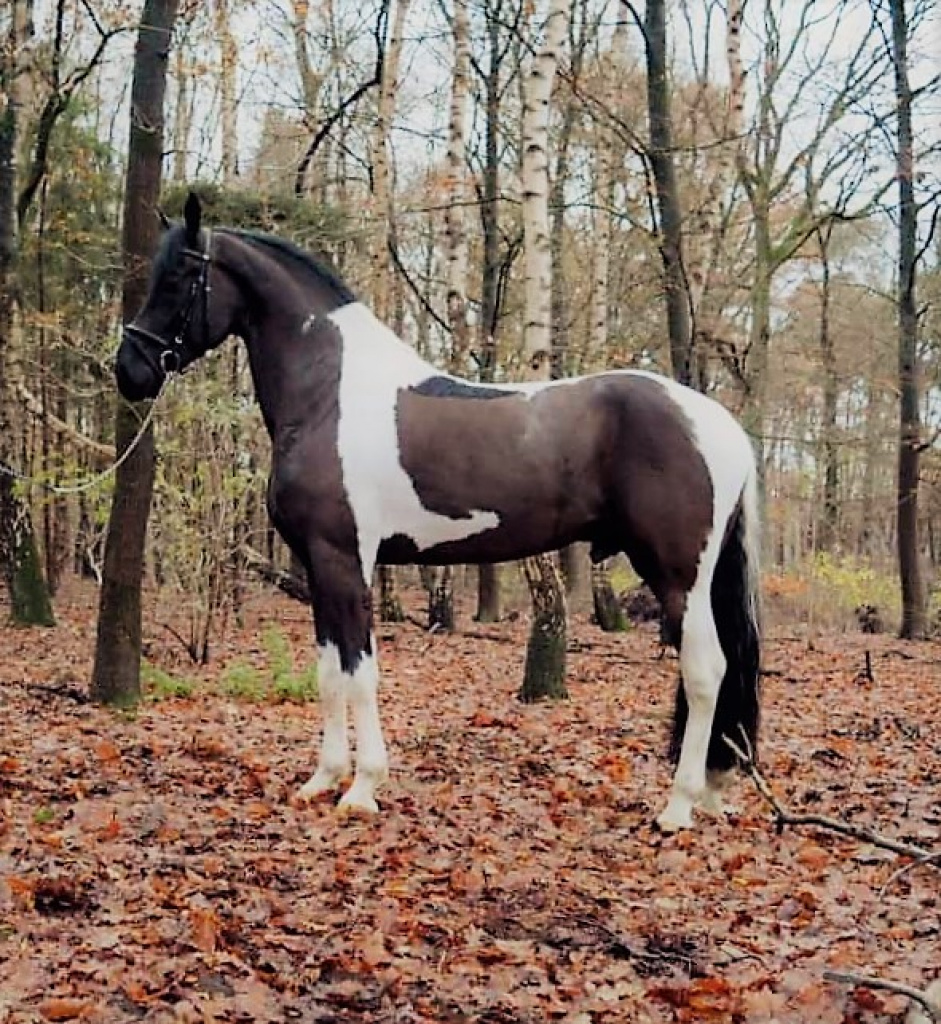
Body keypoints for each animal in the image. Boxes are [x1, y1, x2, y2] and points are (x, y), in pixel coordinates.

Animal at [115, 192, 761, 831]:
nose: (129, 369)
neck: (331, 393)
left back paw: (677, 806)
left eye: (178, 276)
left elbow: (360, 672)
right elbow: (328, 673)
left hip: (678, 576)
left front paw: (362, 789)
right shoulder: (319, 568)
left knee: (705, 671)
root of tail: (721, 425)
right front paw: (322, 780)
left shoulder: (344, 561)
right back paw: (709, 792)